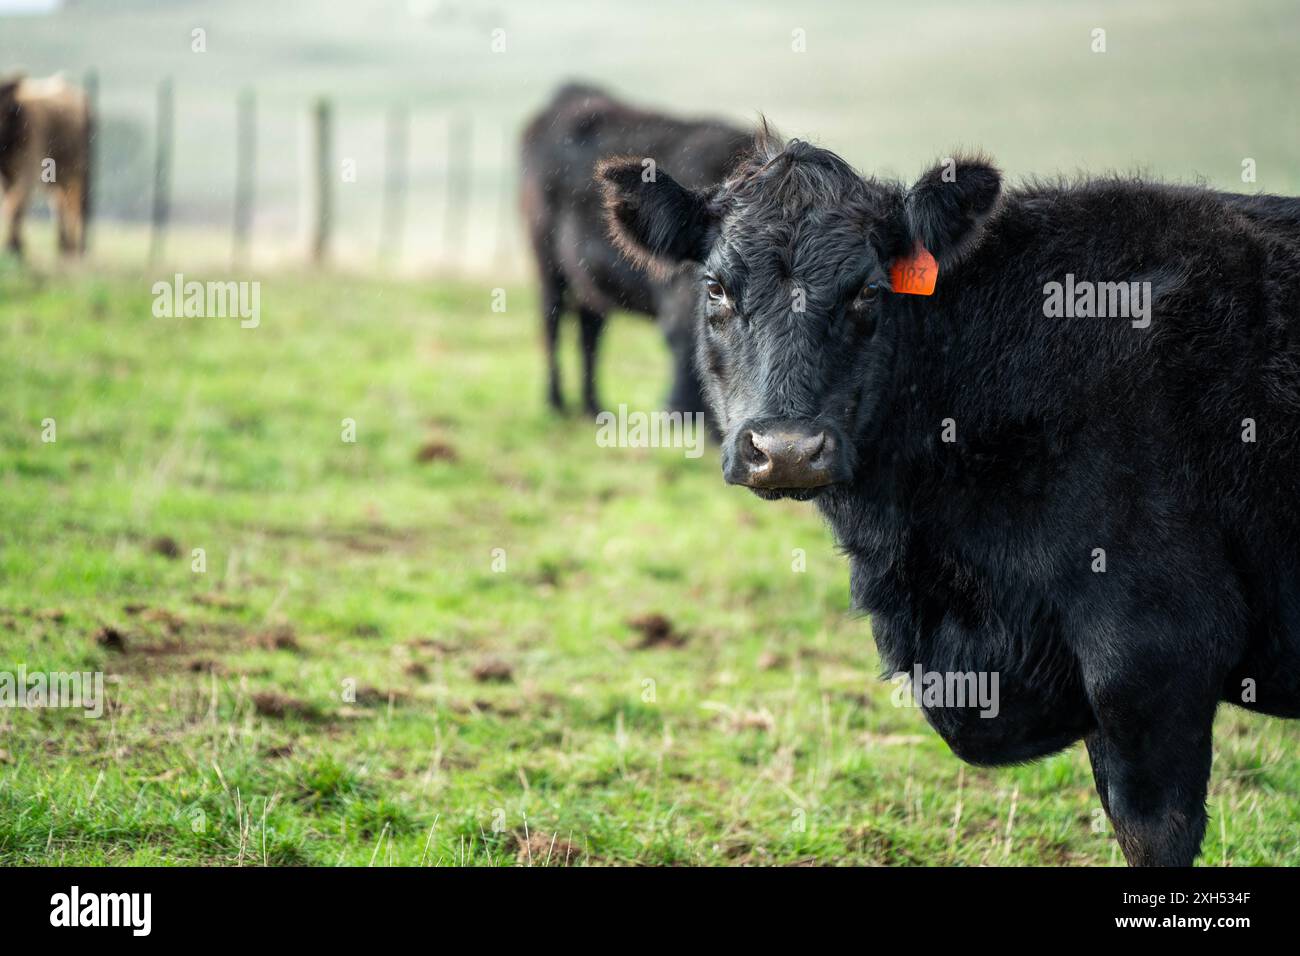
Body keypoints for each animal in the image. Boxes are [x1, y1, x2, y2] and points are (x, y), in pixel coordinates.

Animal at [0, 72, 92, 259]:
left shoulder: (33, 149)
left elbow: (17, 201)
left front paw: (15, 248)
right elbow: (10, 199)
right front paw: (14, 246)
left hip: (76, 165)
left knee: (74, 202)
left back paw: (73, 251)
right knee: (60, 201)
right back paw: (64, 246)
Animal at [520, 83, 749, 419]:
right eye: (668, 337)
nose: (677, 410)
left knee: (589, 332)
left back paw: (592, 406)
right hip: (547, 264)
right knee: (552, 323)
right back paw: (556, 402)